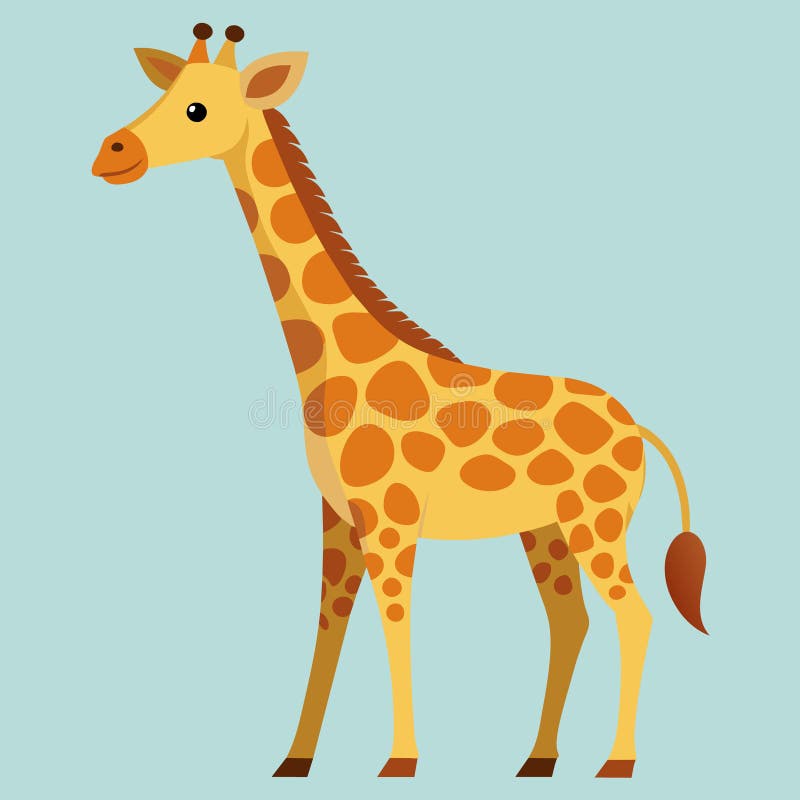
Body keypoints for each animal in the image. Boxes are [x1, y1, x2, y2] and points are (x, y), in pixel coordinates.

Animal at [92, 24, 708, 779]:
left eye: (197, 109)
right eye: (169, 89)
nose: (112, 152)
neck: (334, 361)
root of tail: (637, 427)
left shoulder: (391, 519)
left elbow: (396, 623)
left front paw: (400, 761)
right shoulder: (336, 518)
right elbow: (328, 625)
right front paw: (295, 760)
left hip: (599, 521)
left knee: (634, 615)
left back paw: (616, 763)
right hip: (546, 528)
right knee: (572, 620)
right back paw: (537, 760)